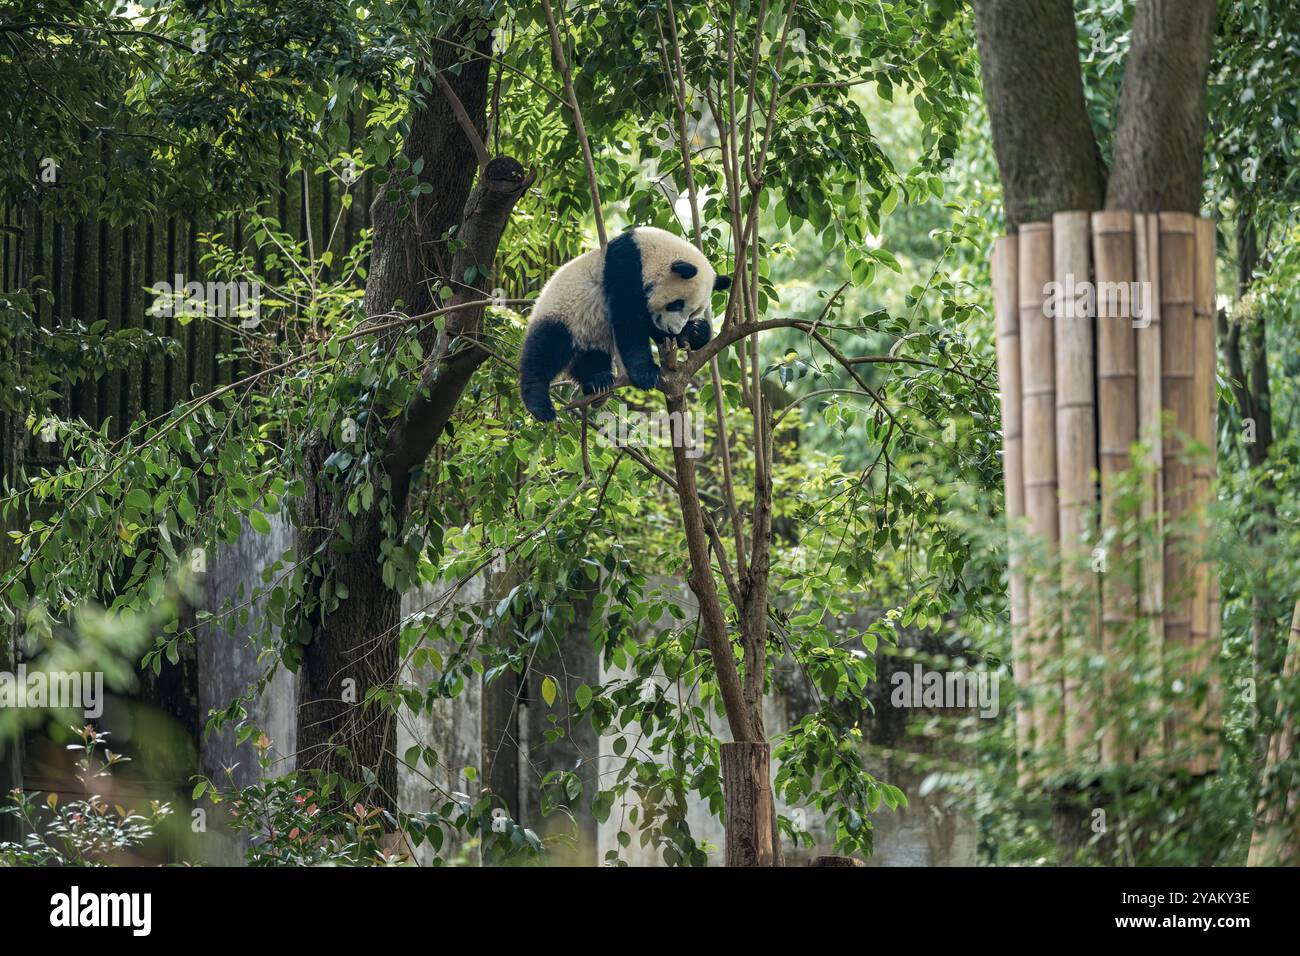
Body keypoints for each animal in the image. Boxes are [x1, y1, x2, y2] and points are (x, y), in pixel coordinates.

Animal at [519, 226, 732, 421]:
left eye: (693, 312)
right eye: (677, 304)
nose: (674, 329)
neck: (647, 252)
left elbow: (651, 327)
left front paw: (695, 332)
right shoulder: (625, 268)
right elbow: (629, 322)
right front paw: (646, 374)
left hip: (590, 332)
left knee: (591, 356)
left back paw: (597, 382)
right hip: (563, 312)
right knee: (545, 350)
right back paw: (541, 405)